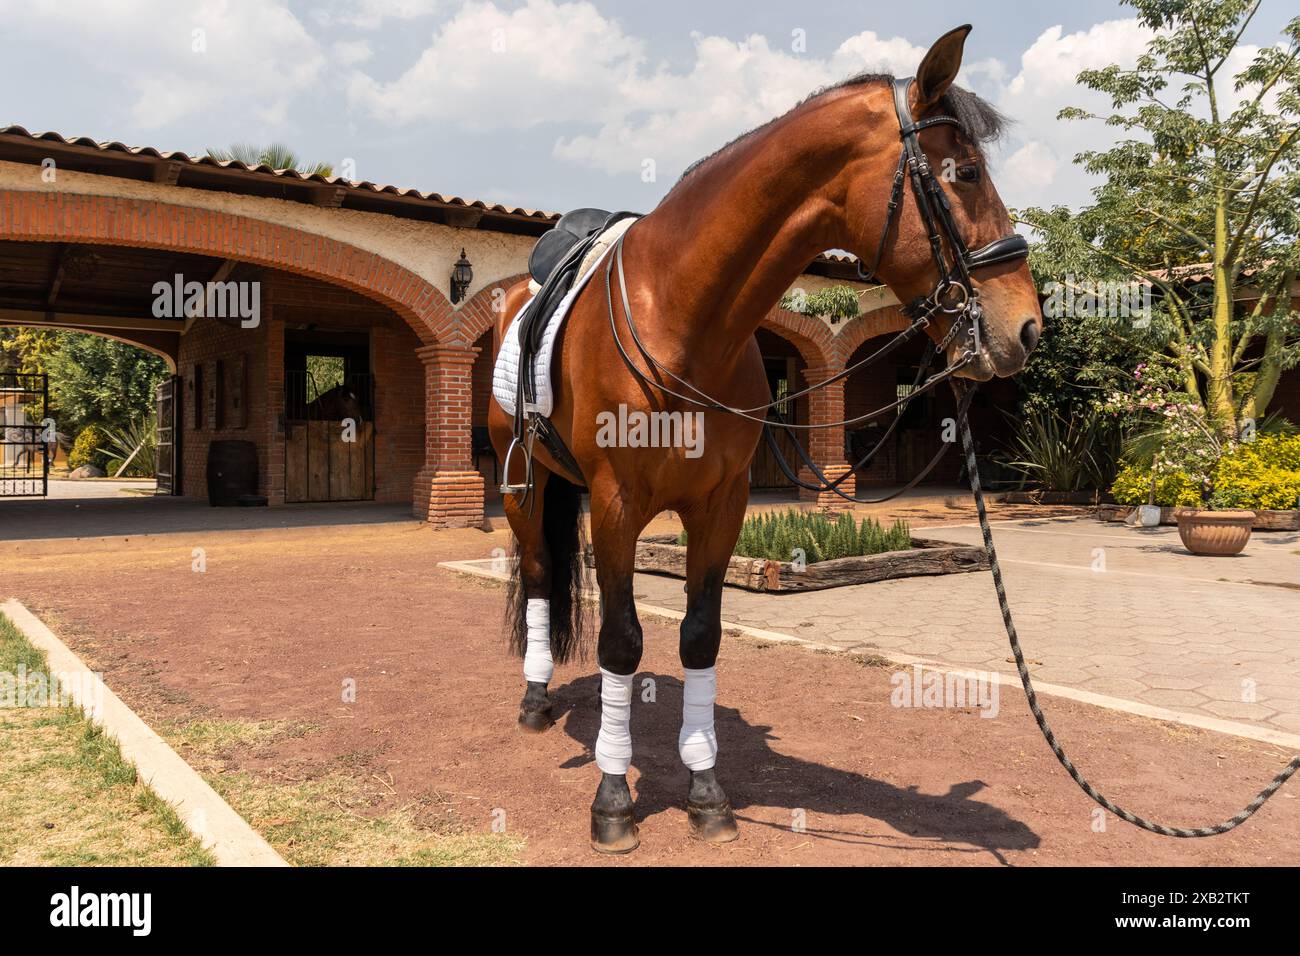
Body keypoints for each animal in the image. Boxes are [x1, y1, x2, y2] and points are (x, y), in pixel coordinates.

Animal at [488, 24, 1042, 854]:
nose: (1027, 327)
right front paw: (614, 799)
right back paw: (533, 700)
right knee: (541, 575)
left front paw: (706, 792)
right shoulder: (616, 506)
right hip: (524, 486)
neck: (682, 317)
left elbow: (699, 638)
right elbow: (622, 641)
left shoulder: (723, 504)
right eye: (966, 173)